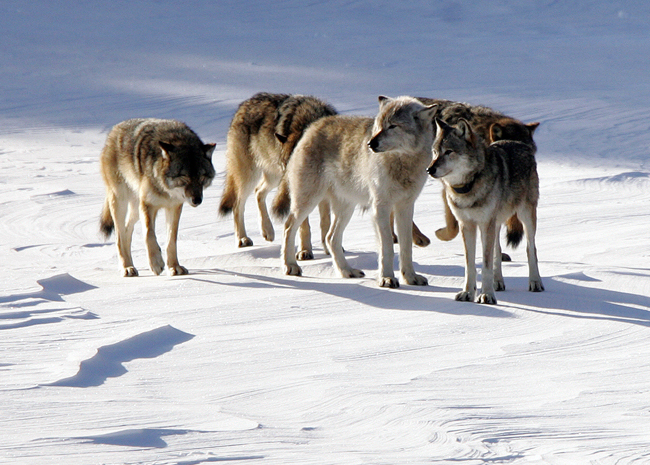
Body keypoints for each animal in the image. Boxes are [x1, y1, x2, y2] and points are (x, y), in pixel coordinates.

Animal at [99, 118, 216, 277]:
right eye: (184, 177)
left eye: (201, 178)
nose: (197, 200)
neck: (166, 190)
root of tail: (115, 130)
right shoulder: (148, 205)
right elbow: (149, 234)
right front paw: (156, 263)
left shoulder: (174, 207)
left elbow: (171, 240)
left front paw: (174, 267)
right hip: (120, 202)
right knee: (119, 237)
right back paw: (126, 267)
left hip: (135, 209)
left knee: (127, 230)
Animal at [218, 92, 337, 257]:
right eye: (288, 165)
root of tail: (243, 105)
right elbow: (304, 225)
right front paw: (305, 251)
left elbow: (325, 221)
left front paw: (329, 249)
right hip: (250, 176)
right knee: (237, 204)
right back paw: (242, 238)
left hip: (273, 177)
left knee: (258, 192)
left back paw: (267, 231)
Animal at [273, 96, 437, 288]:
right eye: (378, 126)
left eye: (393, 126)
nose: (371, 143)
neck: (402, 162)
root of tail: (311, 127)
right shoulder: (380, 207)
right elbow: (387, 247)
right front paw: (387, 278)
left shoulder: (405, 206)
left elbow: (406, 248)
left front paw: (410, 277)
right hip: (308, 201)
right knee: (288, 227)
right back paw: (290, 266)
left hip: (346, 208)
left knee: (330, 238)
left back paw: (347, 271)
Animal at [427, 118, 544, 304]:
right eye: (435, 152)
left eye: (449, 152)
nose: (429, 169)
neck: (468, 186)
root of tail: (518, 143)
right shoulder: (467, 225)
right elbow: (470, 265)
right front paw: (468, 293)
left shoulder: (485, 223)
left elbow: (486, 264)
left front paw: (487, 295)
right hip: (495, 224)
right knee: (497, 250)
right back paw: (498, 283)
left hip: (525, 216)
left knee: (530, 249)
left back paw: (535, 282)